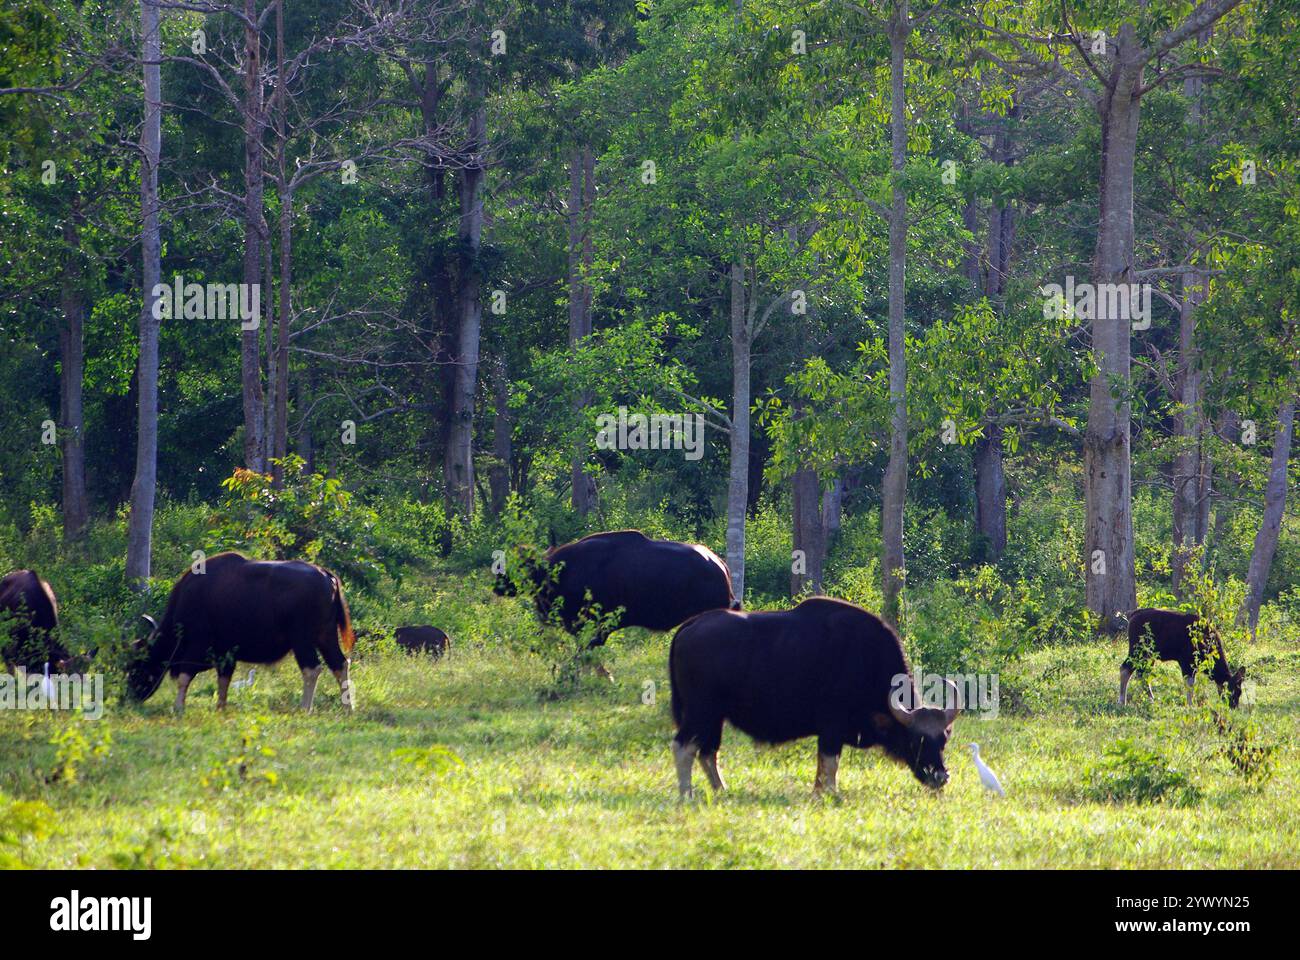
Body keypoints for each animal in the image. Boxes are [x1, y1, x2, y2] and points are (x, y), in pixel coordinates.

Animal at [127, 552, 357, 715]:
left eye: (135, 666)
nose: (127, 697)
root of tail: (326, 575)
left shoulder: (197, 646)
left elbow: (184, 677)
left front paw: (178, 707)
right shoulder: (225, 654)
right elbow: (223, 680)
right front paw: (220, 707)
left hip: (302, 639)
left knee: (312, 669)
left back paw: (304, 708)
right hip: (326, 635)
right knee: (340, 664)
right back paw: (347, 708)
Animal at [669, 597, 959, 797]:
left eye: (943, 740)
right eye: (916, 740)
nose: (940, 777)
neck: (865, 661)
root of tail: (690, 626)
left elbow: (822, 766)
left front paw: (818, 793)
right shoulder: (832, 728)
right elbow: (830, 764)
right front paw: (831, 794)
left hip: (715, 717)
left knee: (708, 752)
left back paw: (721, 790)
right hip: (700, 712)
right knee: (683, 747)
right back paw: (687, 793)